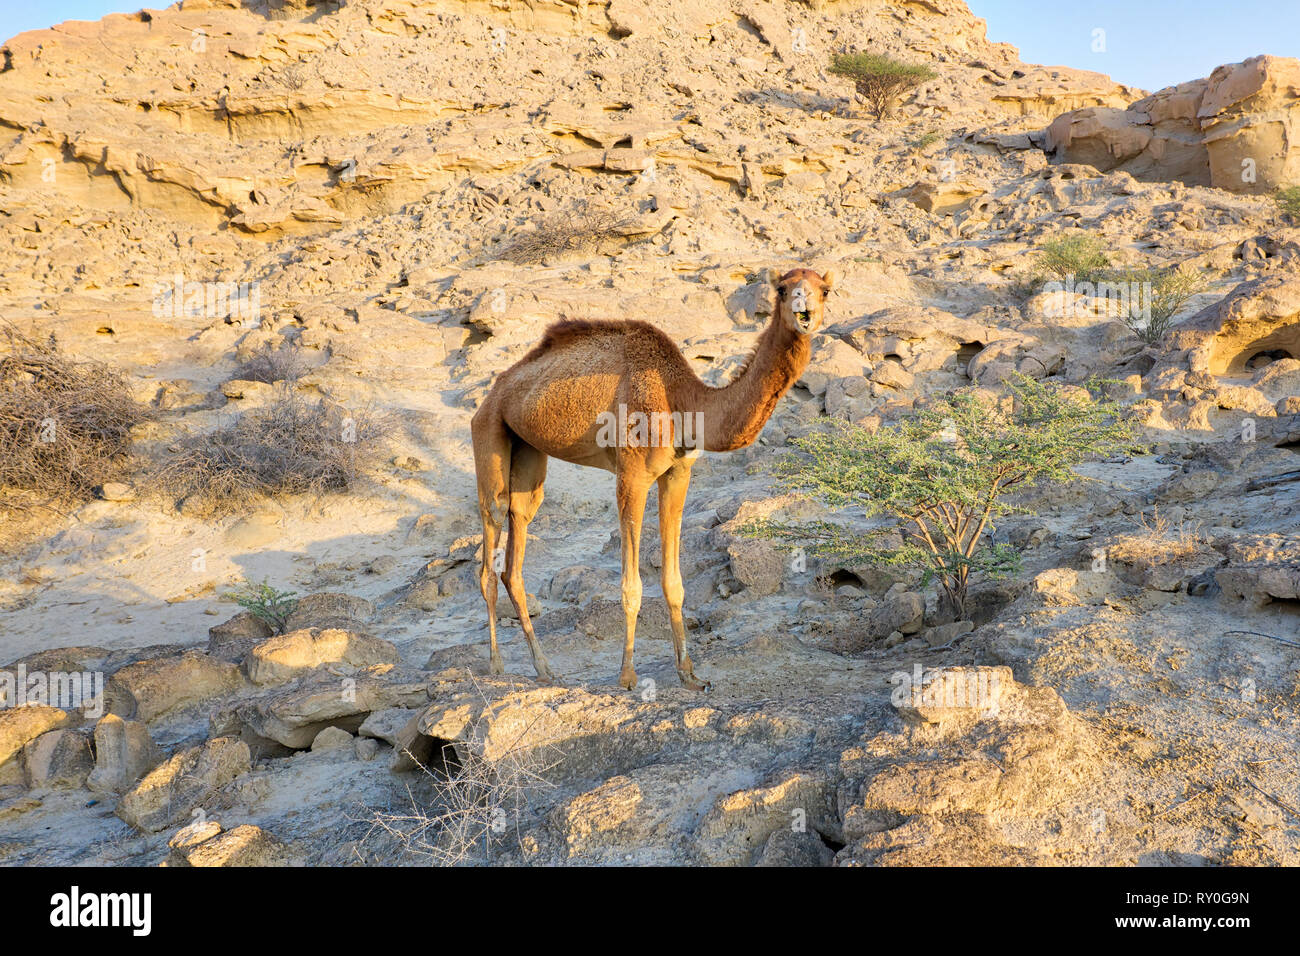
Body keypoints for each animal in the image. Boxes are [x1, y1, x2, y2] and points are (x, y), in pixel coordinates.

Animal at [469, 266, 837, 691]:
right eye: (781, 289)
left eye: (824, 290)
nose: (804, 309)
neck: (684, 401)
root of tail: (494, 391)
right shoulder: (631, 476)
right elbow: (631, 585)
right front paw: (628, 675)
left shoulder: (678, 473)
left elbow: (674, 582)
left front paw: (689, 673)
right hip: (489, 430)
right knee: (491, 538)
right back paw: (496, 665)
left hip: (528, 450)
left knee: (517, 539)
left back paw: (543, 667)